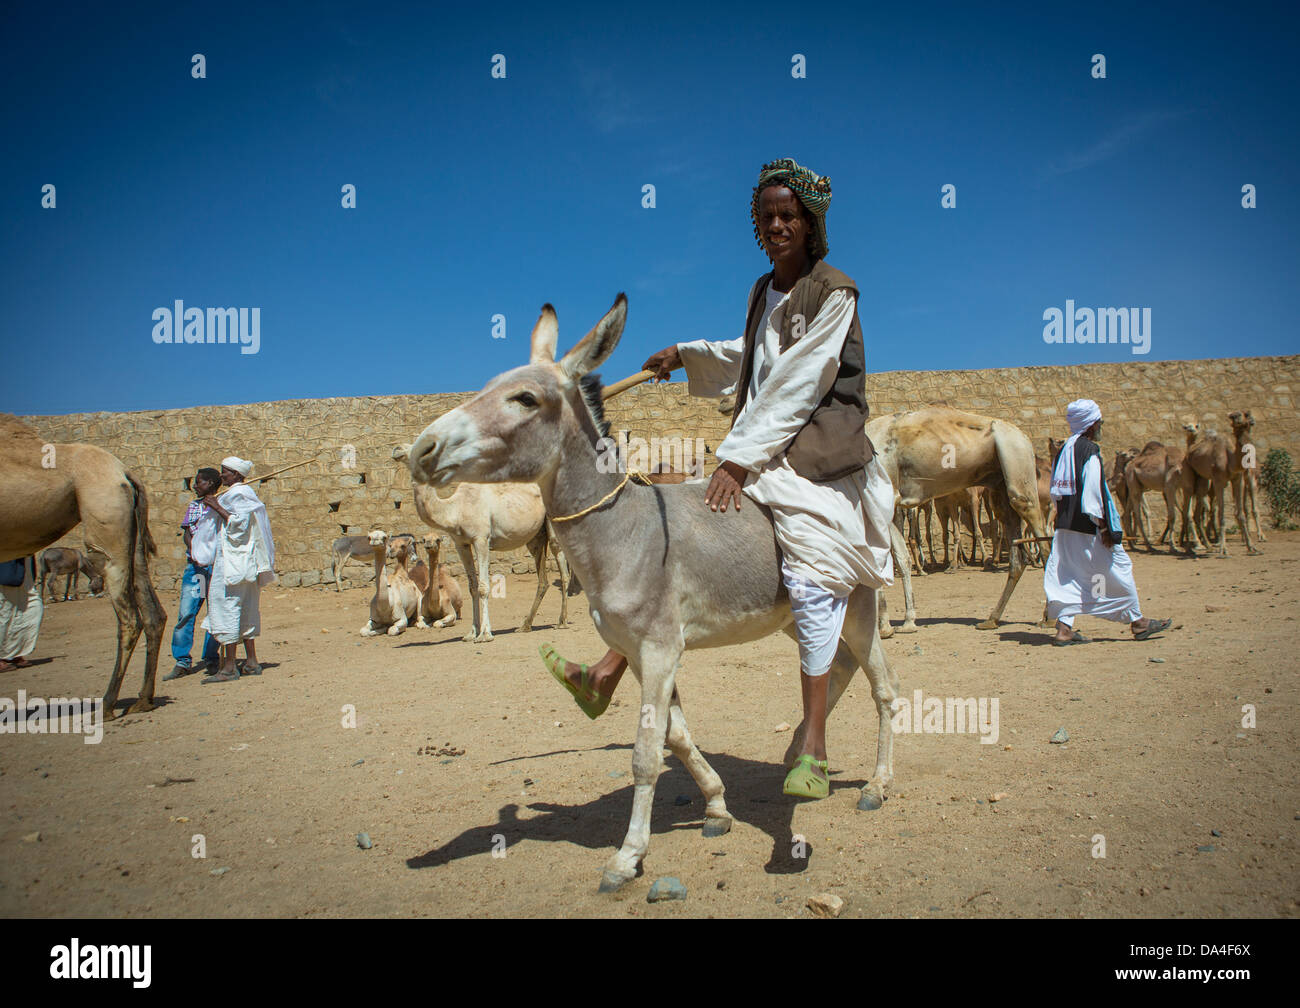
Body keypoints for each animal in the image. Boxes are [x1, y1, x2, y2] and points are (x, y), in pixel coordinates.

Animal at [0, 415, 165, 718]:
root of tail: (125, 473)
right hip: (132, 534)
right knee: (152, 612)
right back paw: (142, 700)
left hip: (106, 526)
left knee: (129, 618)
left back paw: (108, 703)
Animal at [391, 448, 570, 642]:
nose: (397, 450)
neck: (455, 509)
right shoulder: (461, 543)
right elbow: (472, 587)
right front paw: (471, 633)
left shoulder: (481, 539)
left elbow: (484, 587)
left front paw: (485, 634)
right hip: (535, 537)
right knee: (543, 579)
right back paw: (525, 625)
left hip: (552, 521)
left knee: (561, 560)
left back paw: (562, 621)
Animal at [867, 406, 1048, 630]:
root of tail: (1024, 437)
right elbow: (900, 557)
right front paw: (904, 622)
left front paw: (885, 627)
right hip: (1000, 488)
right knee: (1017, 553)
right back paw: (992, 619)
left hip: (1017, 463)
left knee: (1042, 536)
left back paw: (1048, 619)